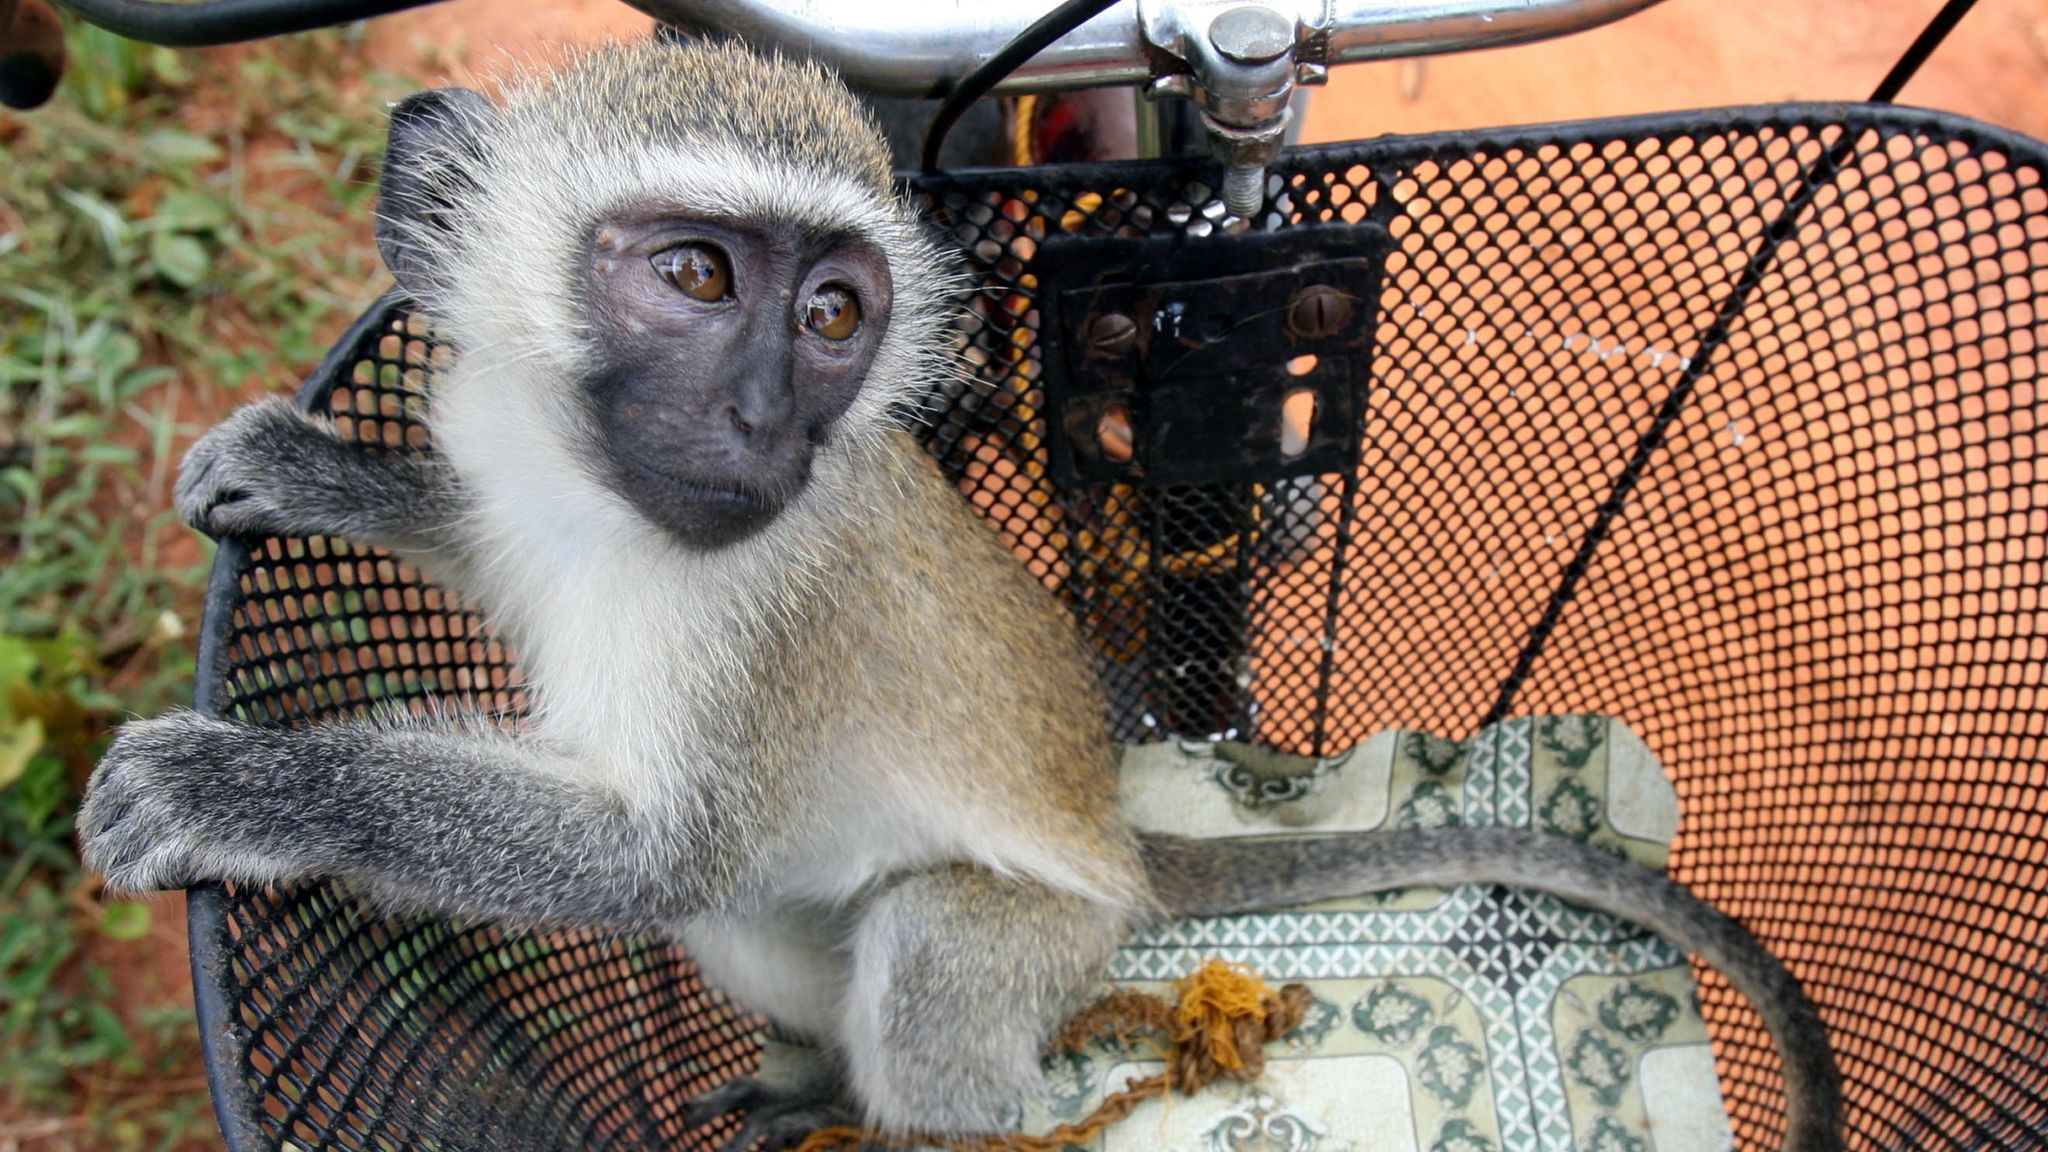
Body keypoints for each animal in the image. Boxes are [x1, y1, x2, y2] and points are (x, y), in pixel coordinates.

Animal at [76, 39, 1841, 1152]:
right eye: (699, 275)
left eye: (835, 313)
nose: (764, 424)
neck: (615, 518)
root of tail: (1126, 851)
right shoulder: (530, 479)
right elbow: (497, 559)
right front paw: (315, 469)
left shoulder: (759, 619)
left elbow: (653, 857)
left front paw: (243, 786)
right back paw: (822, 1092)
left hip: (1044, 939)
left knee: (925, 954)